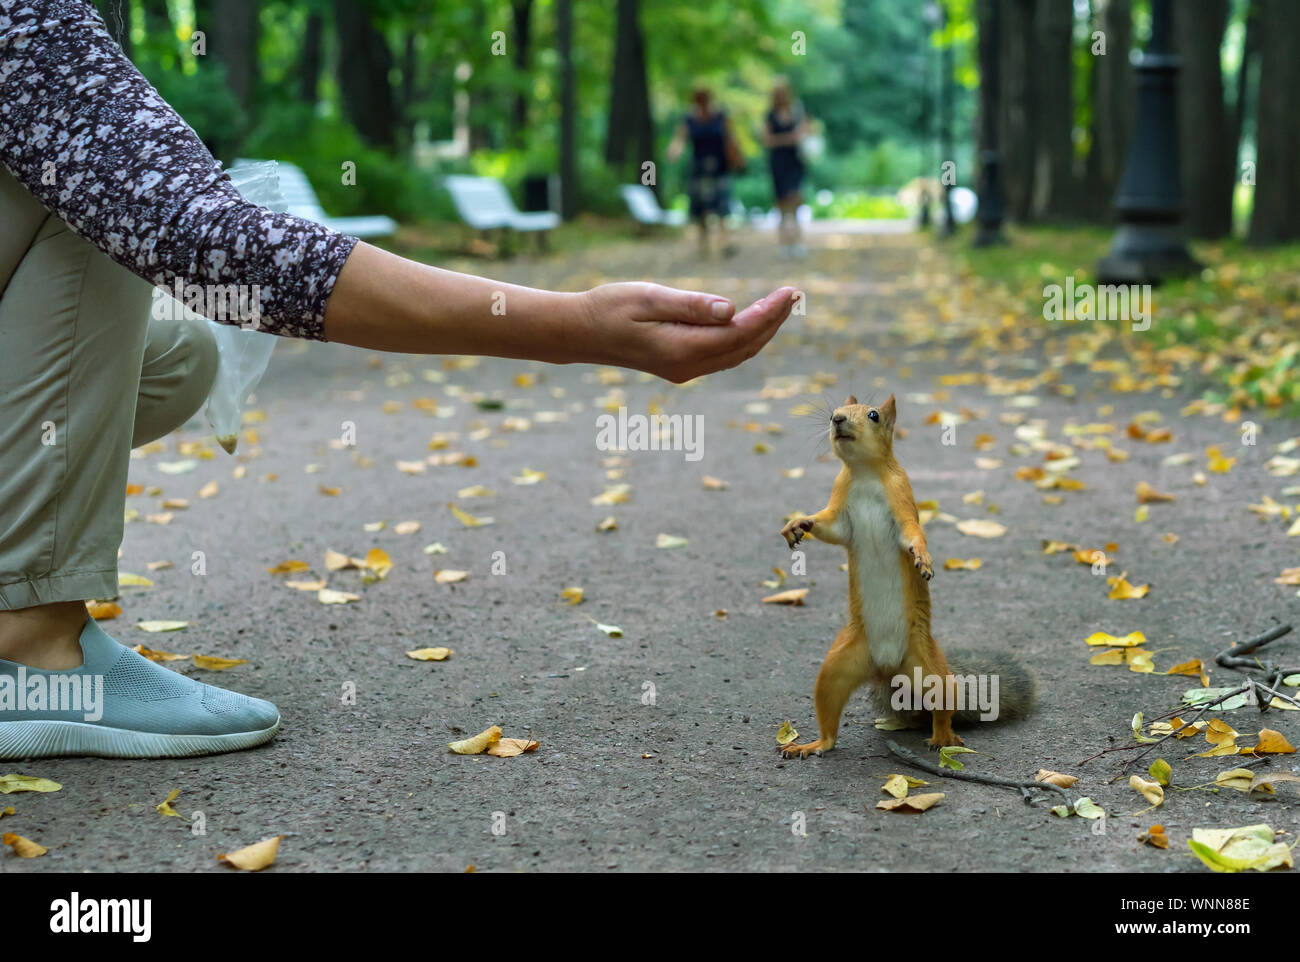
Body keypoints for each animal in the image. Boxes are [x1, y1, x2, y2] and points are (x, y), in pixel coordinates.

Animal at [778, 394, 1035, 757]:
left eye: (873, 415)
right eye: (833, 412)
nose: (837, 419)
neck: (865, 474)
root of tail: (887, 672)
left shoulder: (902, 498)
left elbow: (912, 533)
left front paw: (923, 558)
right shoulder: (840, 509)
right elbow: (829, 527)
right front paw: (799, 522)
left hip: (930, 668)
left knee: (943, 707)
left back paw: (943, 737)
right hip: (838, 667)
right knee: (829, 711)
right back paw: (814, 744)